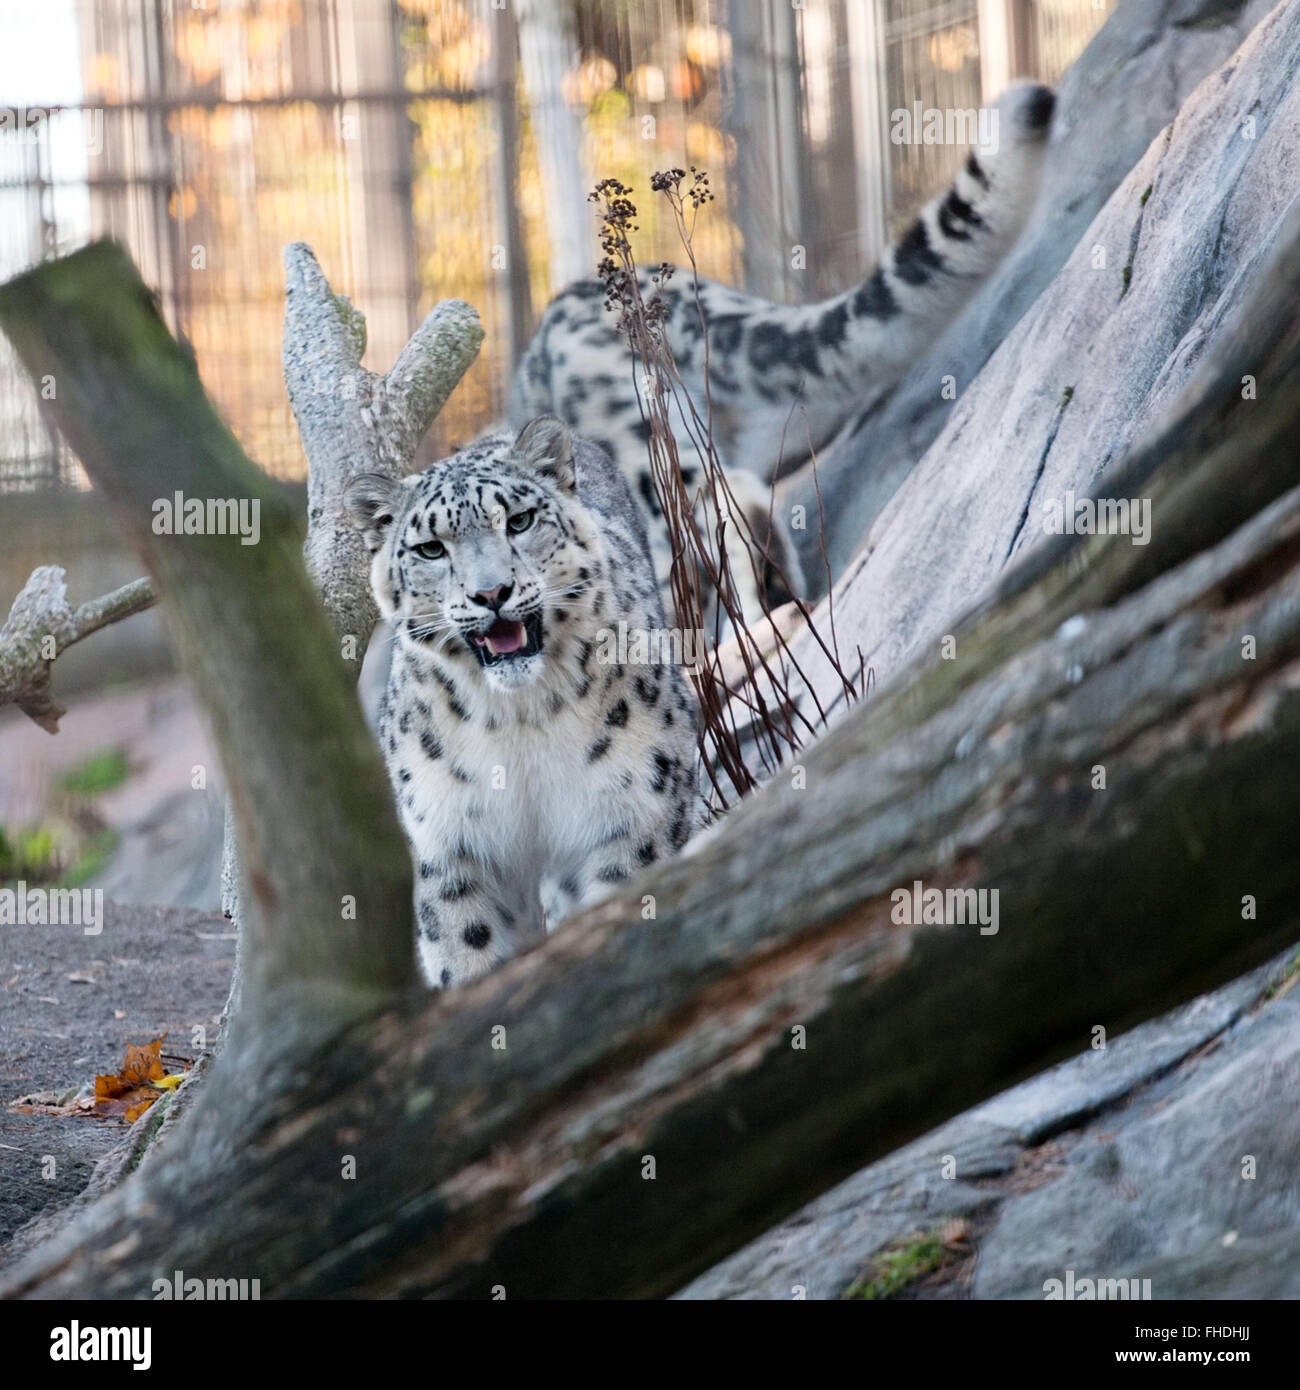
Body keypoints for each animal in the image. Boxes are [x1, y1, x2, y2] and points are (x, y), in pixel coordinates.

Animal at [346, 415, 698, 988]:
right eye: (430, 549)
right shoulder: (449, 846)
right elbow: (466, 949)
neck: (518, 718)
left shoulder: (635, 814)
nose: (491, 593)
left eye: (519, 520)